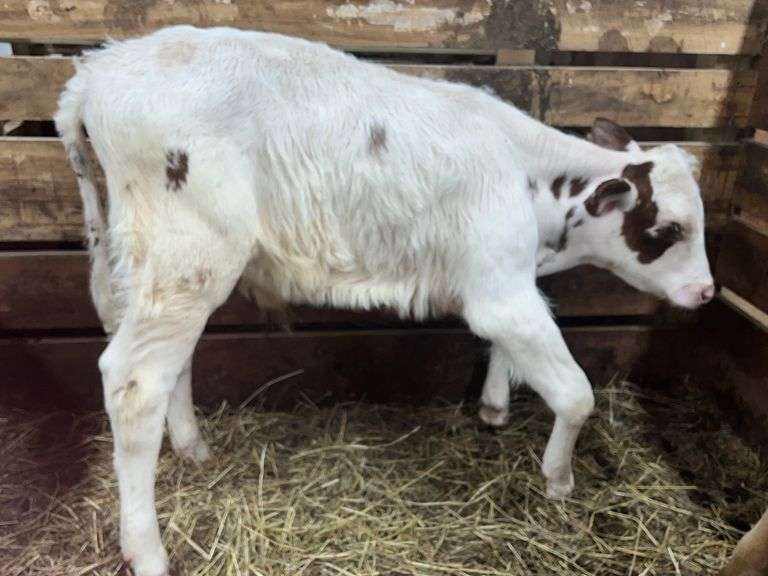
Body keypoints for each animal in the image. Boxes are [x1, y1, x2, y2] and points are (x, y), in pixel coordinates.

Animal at [55, 25, 714, 576]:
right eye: (670, 229)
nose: (707, 291)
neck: (530, 181)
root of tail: (101, 67)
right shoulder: (499, 291)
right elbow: (576, 394)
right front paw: (558, 480)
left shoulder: (504, 278)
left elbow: (510, 348)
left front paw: (494, 407)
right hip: (190, 254)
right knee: (134, 382)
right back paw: (148, 552)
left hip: (153, 264)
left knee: (170, 361)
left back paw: (193, 448)